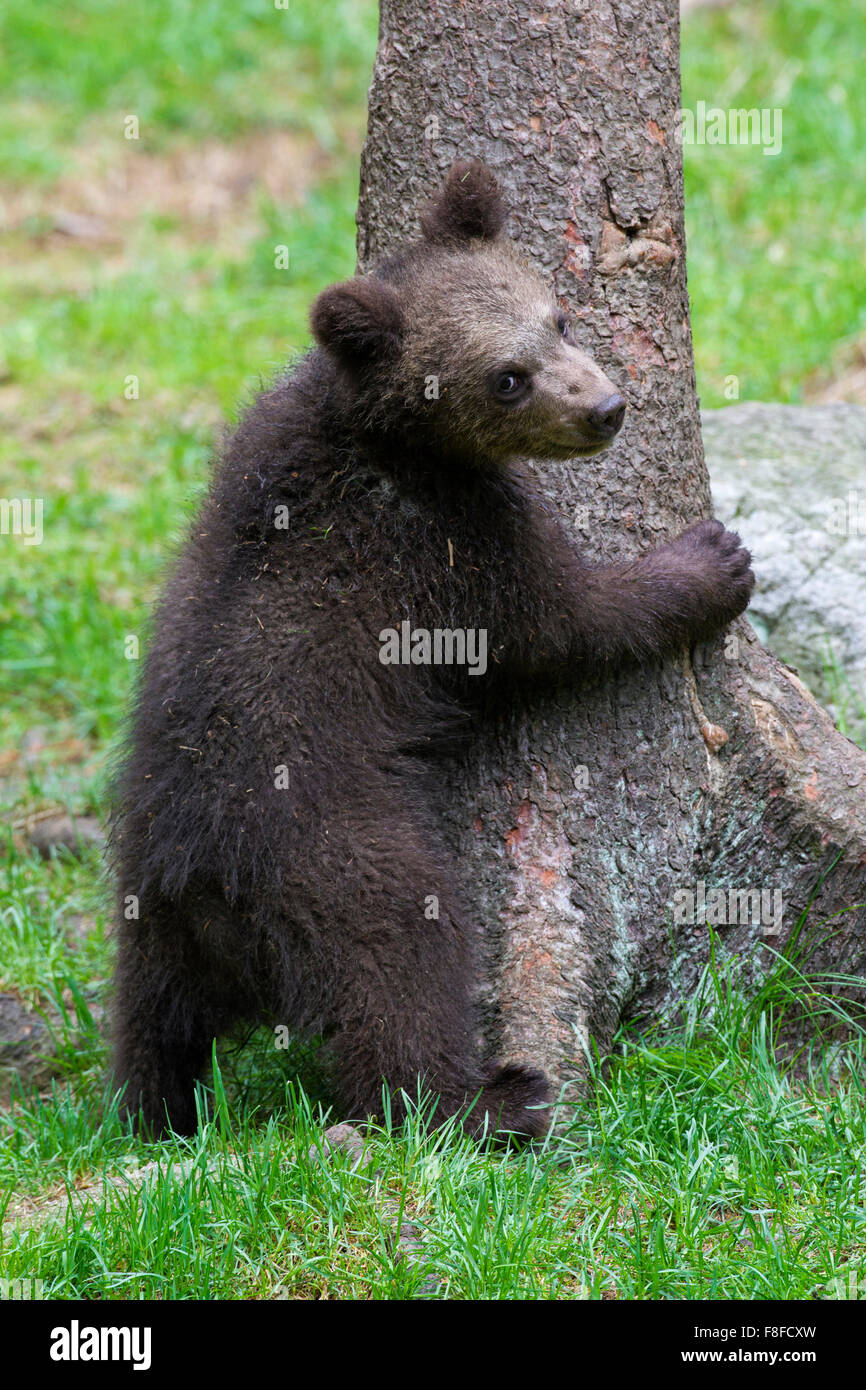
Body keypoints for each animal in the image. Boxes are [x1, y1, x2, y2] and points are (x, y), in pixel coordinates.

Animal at [110, 159, 754, 1140]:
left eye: (559, 317)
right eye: (507, 377)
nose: (606, 408)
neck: (388, 437)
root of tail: (200, 885)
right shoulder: (450, 545)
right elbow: (562, 623)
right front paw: (709, 561)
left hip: (141, 911)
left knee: (149, 1031)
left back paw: (155, 1108)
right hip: (342, 858)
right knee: (403, 973)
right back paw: (493, 1097)